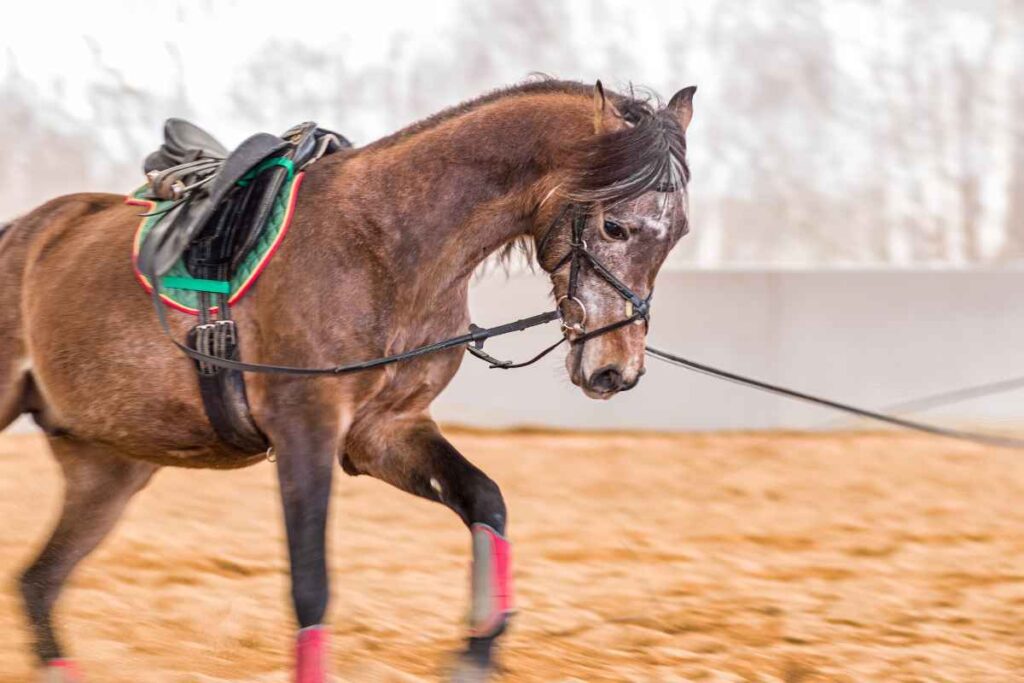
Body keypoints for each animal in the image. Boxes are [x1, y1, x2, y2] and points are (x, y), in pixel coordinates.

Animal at [0, 78, 695, 682]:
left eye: (679, 233)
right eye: (613, 225)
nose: (616, 369)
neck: (383, 244)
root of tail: (26, 234)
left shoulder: (383, 432)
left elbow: (486, 502)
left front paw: (476, 651)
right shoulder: (304, 429)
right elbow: (311, 589)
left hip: (108, 468)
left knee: (38, 584)